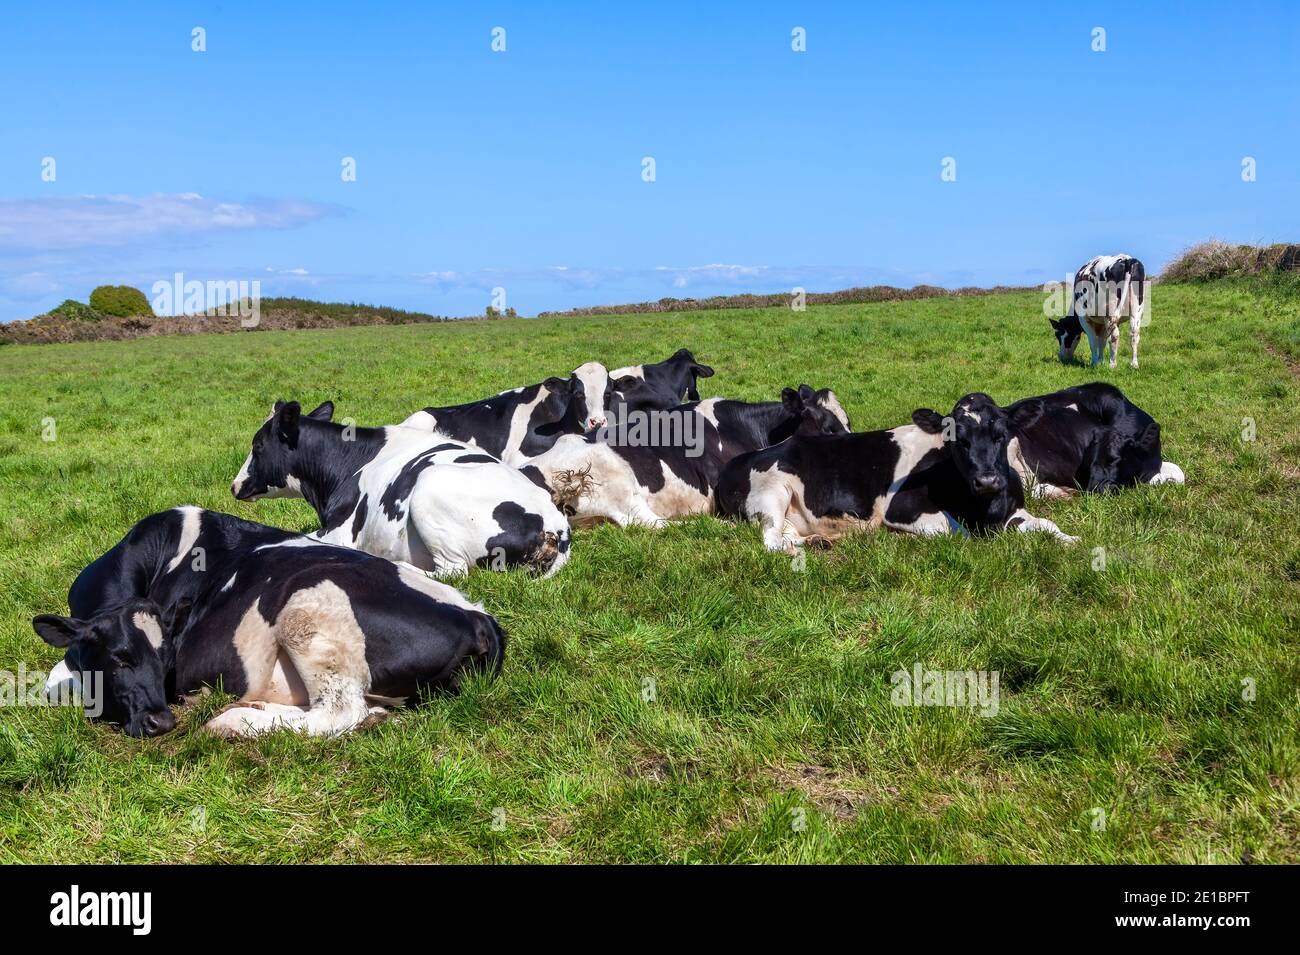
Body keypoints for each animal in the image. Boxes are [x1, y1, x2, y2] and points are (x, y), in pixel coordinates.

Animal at [35, 507, 505, 738]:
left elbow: (53, 685)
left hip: (307, 608)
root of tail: (476, 614)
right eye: (120, 657)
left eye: (167, 659)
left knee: (339, 712)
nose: (161, 721)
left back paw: (232, 721)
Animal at [231, 400, 571, 577]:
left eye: (258, 446)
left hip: (430, 489)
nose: (234, 485)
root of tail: (555, 525)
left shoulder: (339, 532)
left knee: (452, 571)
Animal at [716, 393, 1077, 553]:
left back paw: (820, 540)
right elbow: (953, 532)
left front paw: (1072, 540)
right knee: (772, 541)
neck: (982, 509)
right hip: (771, 494)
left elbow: (1047, 524)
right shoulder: (902, 508)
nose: (987, 480)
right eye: (956, 439)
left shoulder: (1013, 510)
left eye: (1001, 434)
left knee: (788, 535)